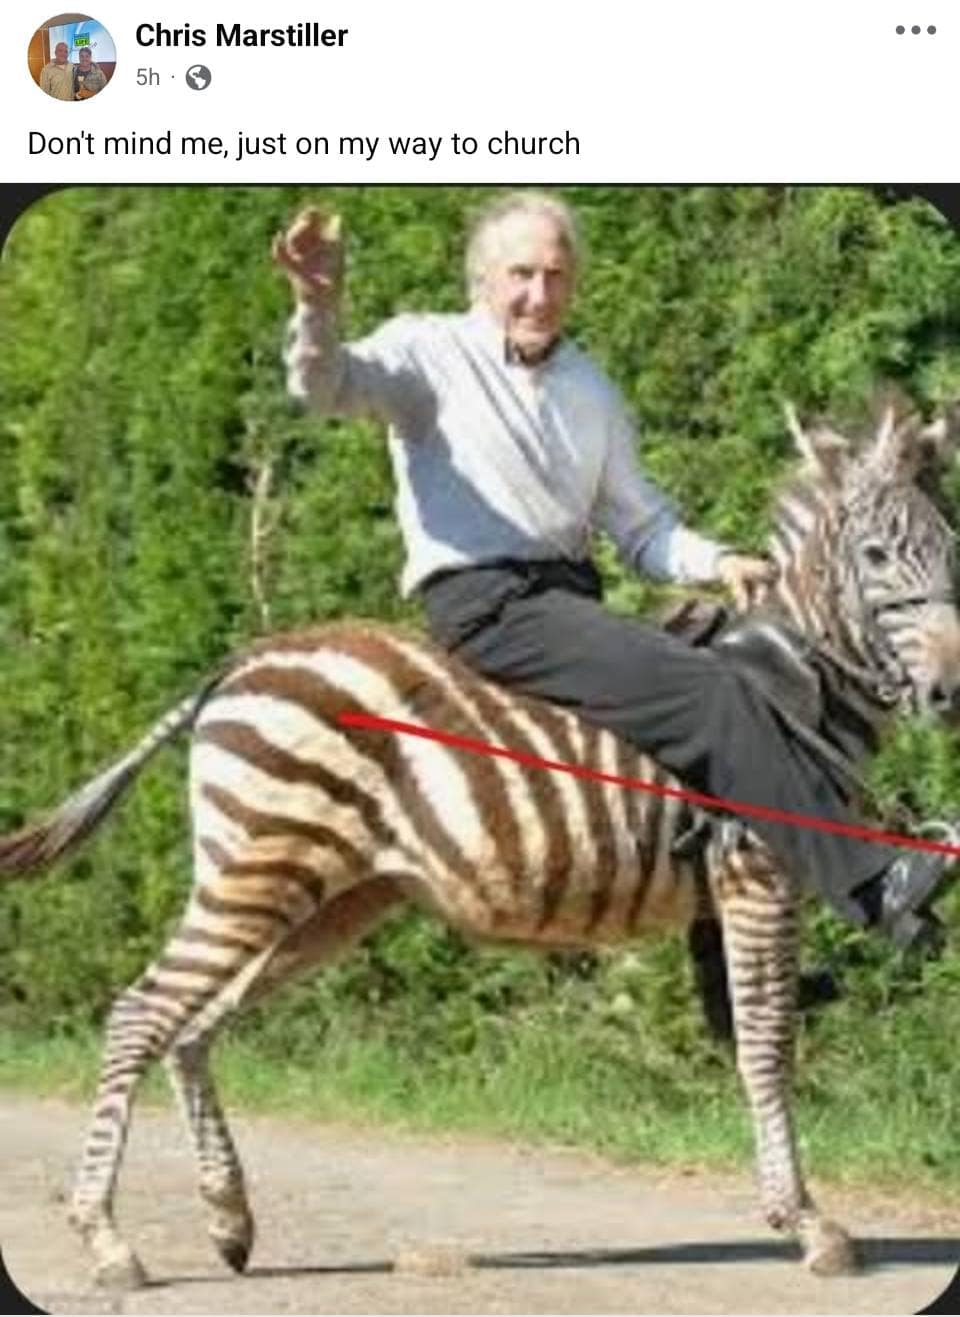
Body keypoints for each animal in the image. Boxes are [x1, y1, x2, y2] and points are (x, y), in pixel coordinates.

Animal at [1, 400, 959, 1290]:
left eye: (952, 549)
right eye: (876, 556)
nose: (949, 691)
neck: (792, 684)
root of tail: (235, 666)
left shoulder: (728, 892)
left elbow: (753, 1037)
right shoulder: (757, 873)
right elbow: (768, 1045)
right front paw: (810, 1225)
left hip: (322, 898)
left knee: (194, 1025)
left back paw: (229, 1220)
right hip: (262, 873)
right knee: (141, 1013)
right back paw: (109, 1241)